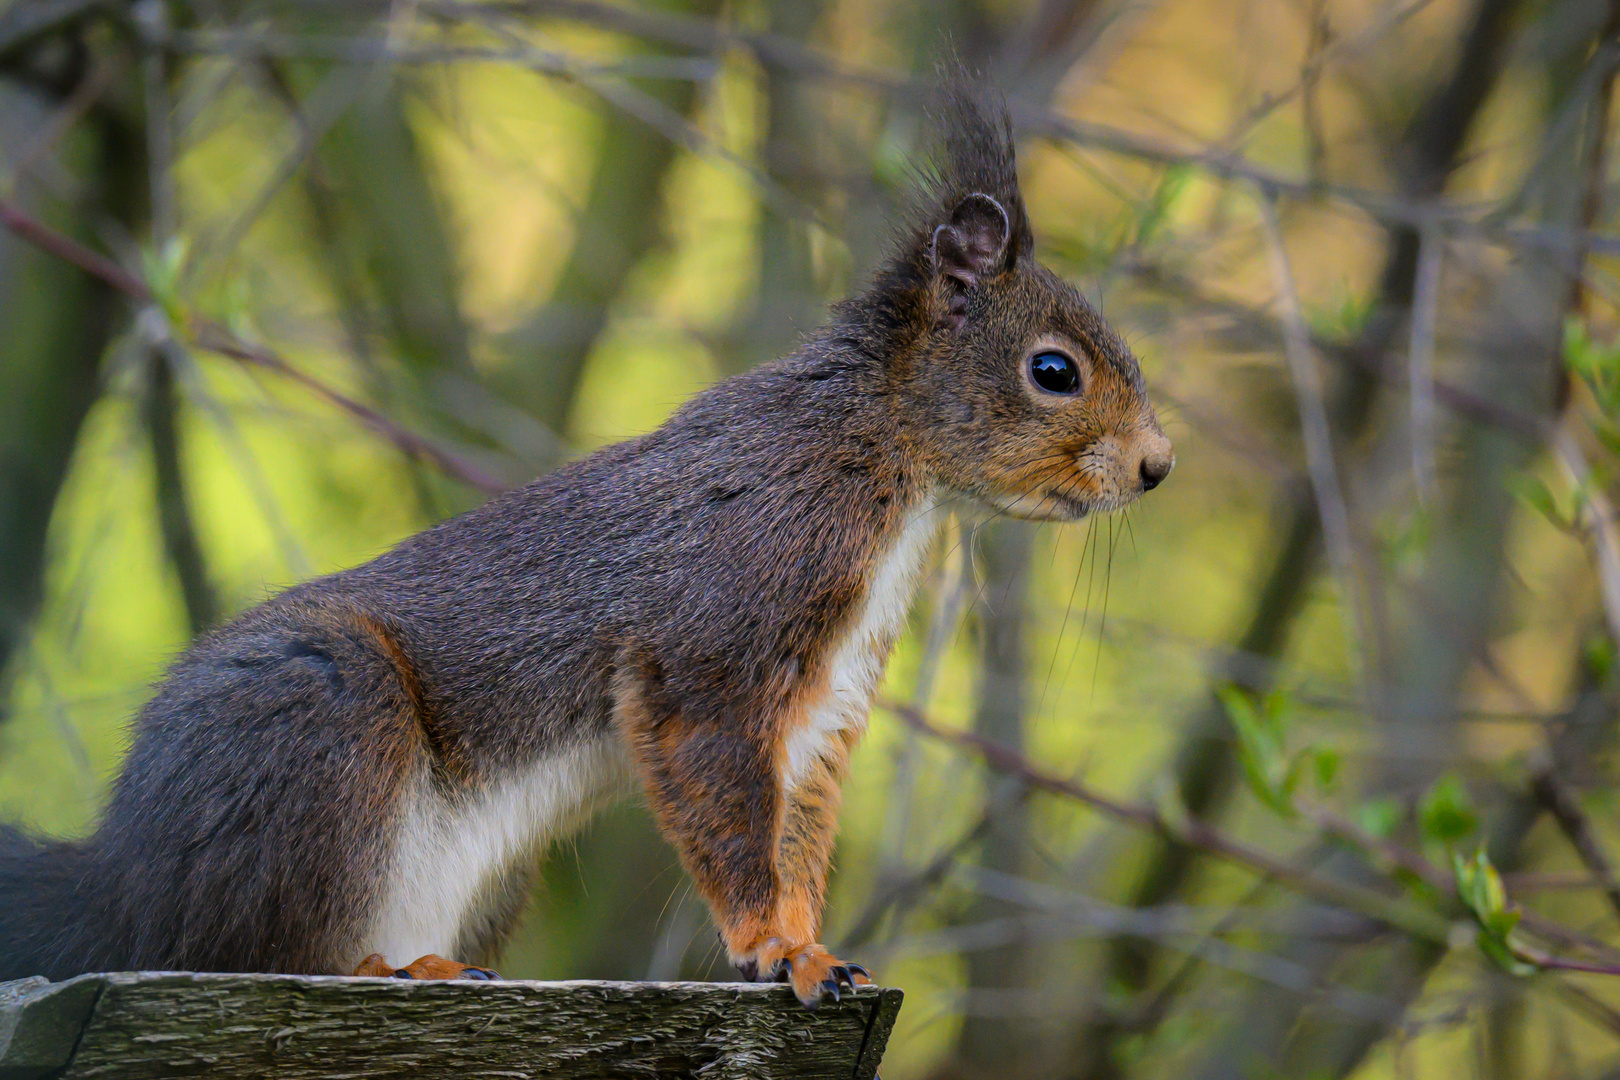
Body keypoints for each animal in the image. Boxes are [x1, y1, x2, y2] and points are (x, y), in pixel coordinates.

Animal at [0, 83, 1171, 1007]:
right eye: (1054, 370)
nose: (1159, 466)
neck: (879, 454)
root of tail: (122, 873)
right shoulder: (724, 616)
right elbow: (719, 785)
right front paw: (774, 950)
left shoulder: (822, 699)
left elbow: (796, 824)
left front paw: (810, 942)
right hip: (316, 731)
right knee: (248, 947)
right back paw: (385, 969)